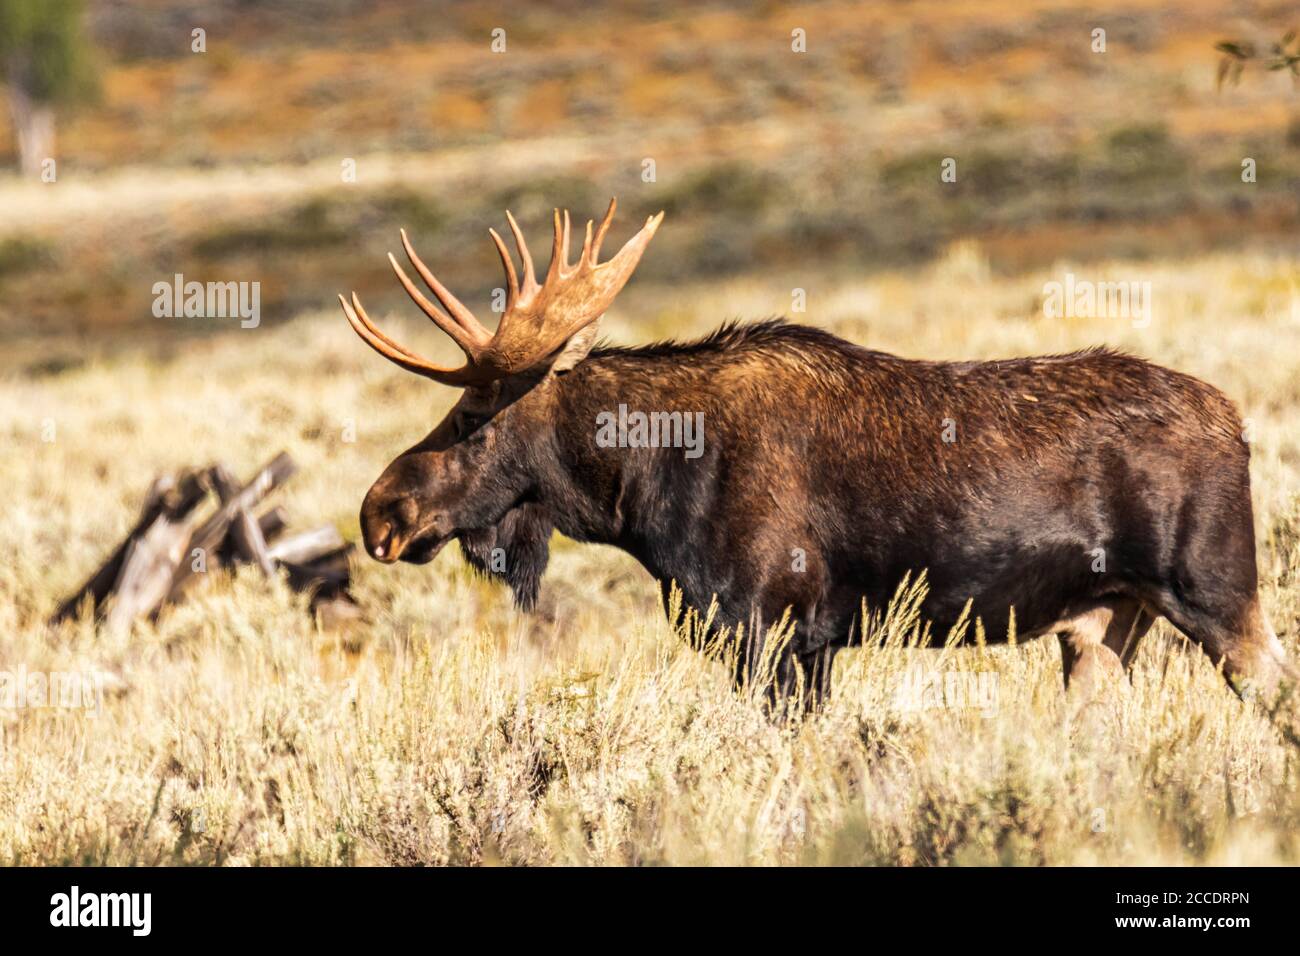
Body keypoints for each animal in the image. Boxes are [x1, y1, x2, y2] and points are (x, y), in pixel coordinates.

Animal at [340, 199, 1296, 713]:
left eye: (474, 415)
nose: (378, 512)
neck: (641, 497)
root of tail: (1237, 422)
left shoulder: (774, 632)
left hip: (1216, 591)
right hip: (1101, 624)